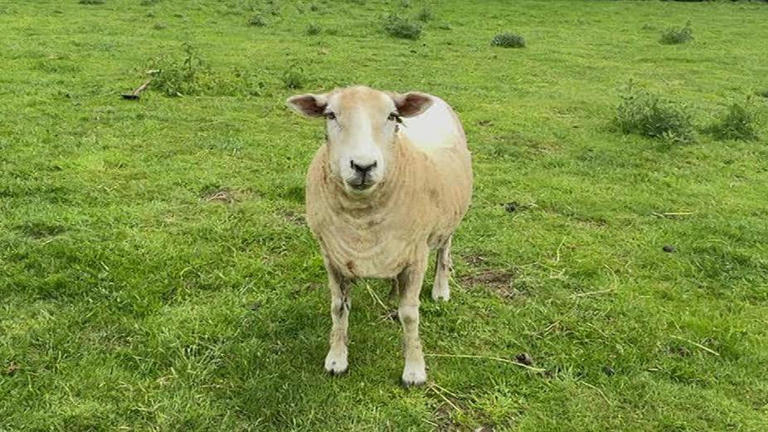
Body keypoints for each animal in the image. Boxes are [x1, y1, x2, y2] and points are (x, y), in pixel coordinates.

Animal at [287, 85, 473, 386]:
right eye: (330, 115)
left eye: (392, 116)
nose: (363, 166)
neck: (361, 219)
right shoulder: (331, 255)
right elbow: (338, 307)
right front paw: (336, 359)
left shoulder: (417, 256)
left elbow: (410, 314)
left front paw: (414, 370)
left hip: (449, 218)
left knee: (444, 249)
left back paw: (441, 290)